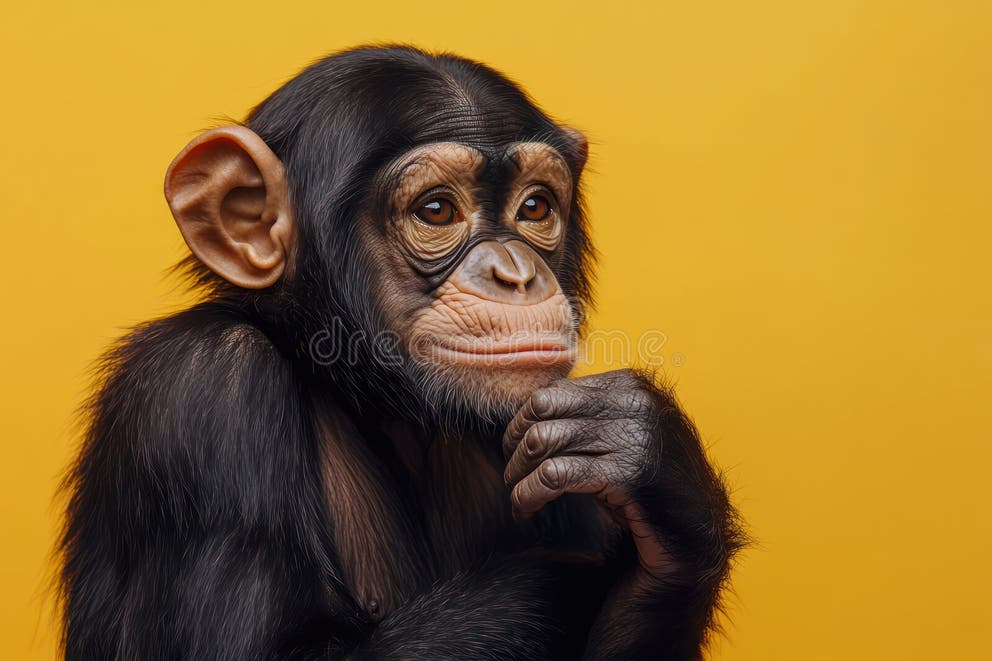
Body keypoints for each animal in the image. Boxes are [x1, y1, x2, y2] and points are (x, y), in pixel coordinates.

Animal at [58, 45, 745, 660]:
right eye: (436, 209)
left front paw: (644, 457)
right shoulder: (204, 393)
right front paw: (563, 581)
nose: (517, 273)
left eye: (535, 207)